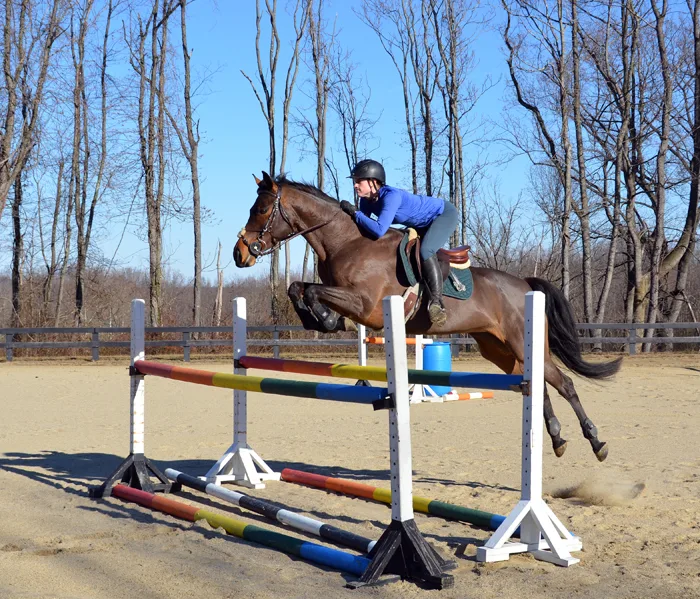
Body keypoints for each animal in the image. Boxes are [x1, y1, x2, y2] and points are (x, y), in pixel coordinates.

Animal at [234, 172, 621, 462]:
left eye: (261, 208)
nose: (240, 254)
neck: (347, 242)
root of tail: (525, 284)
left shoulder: (366, 305)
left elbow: (311, 291)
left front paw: (325, 319)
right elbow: (298, 288)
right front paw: (321, 320)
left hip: (521, 342)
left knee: (563, 382)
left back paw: (596, 442)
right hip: (500, 351)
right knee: (537, 384)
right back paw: (557, 439)